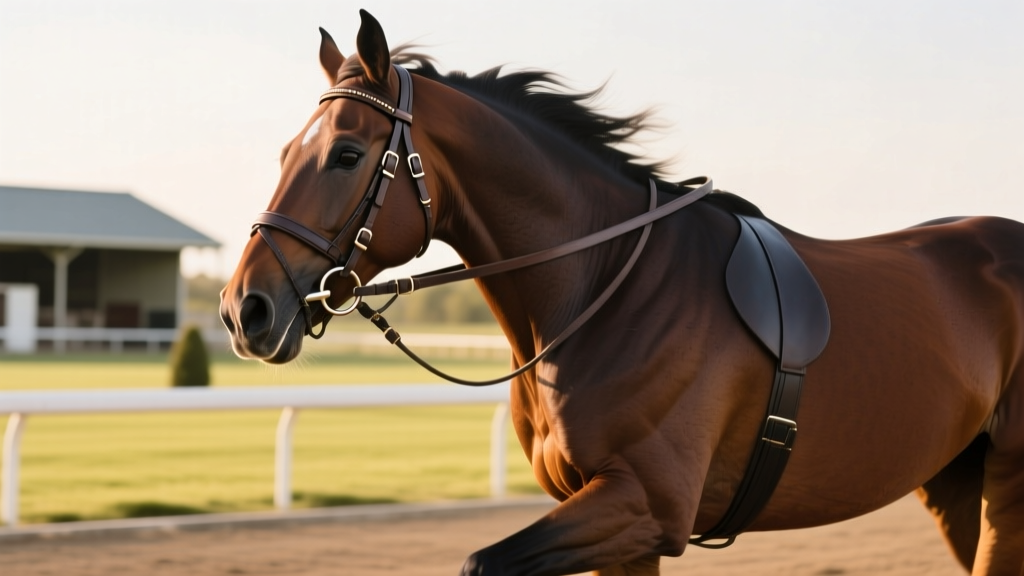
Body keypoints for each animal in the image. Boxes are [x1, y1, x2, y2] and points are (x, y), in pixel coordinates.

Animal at [220, 10, 1024, 576]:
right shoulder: (616, 525)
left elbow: (481, 560)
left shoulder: (644, 505)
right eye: (287, 151)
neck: (601, 289)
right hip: (956, 484)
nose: (244, 309)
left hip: (1006, 492)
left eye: (346, 153)